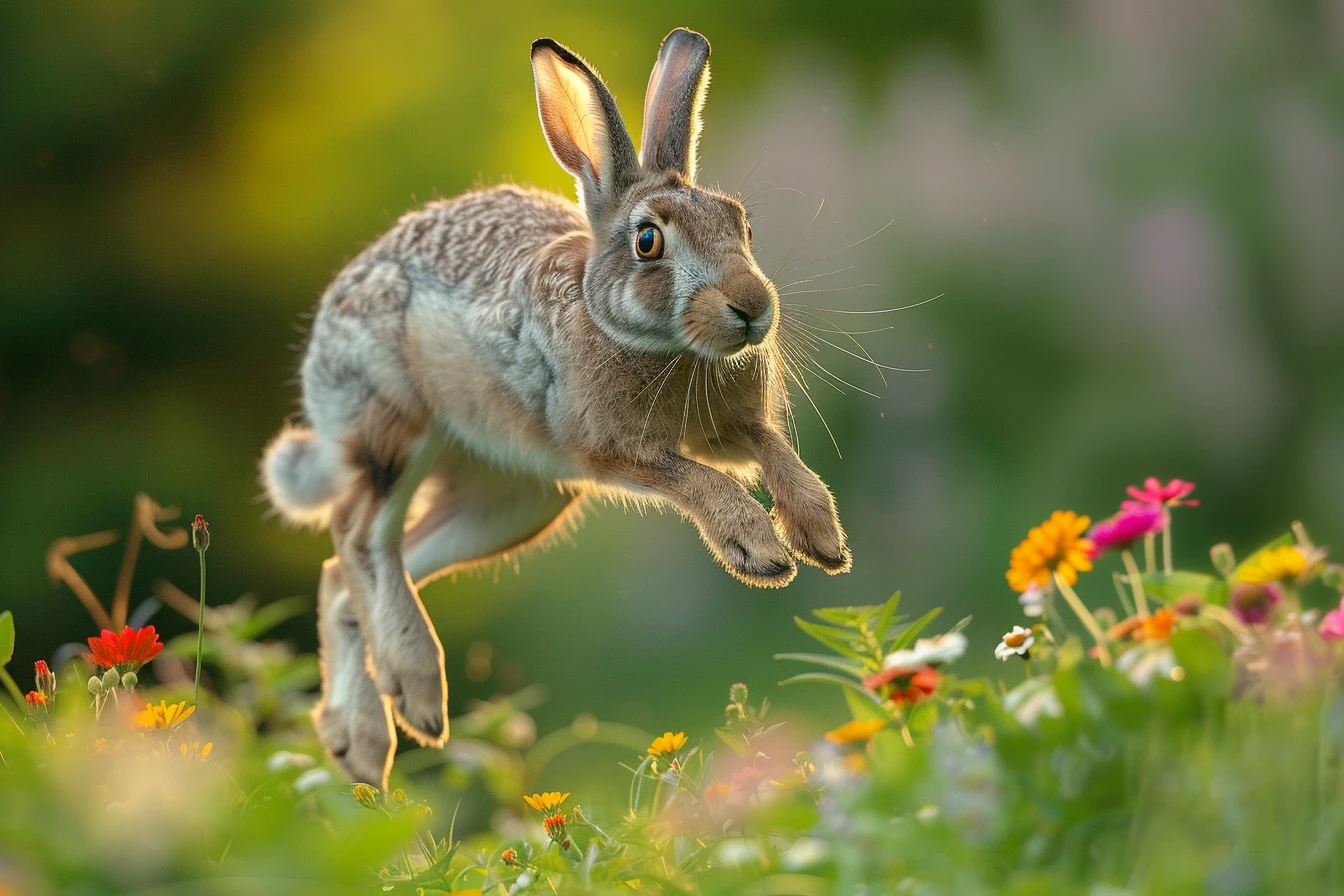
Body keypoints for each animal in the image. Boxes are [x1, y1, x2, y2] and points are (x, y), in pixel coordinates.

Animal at [261, 28, 850, 788]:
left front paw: (821, 538)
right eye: (648, 241)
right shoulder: (612, 450)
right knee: (358, 537)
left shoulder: (732, 428)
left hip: (515, 502)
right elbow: (698, 482)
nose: (752, 308)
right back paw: (412, 691)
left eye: (741, 225)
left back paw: (357, 749)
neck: (646, 336)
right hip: (396, 425)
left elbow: (776, 456)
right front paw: (758, 552)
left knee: (348, 574)